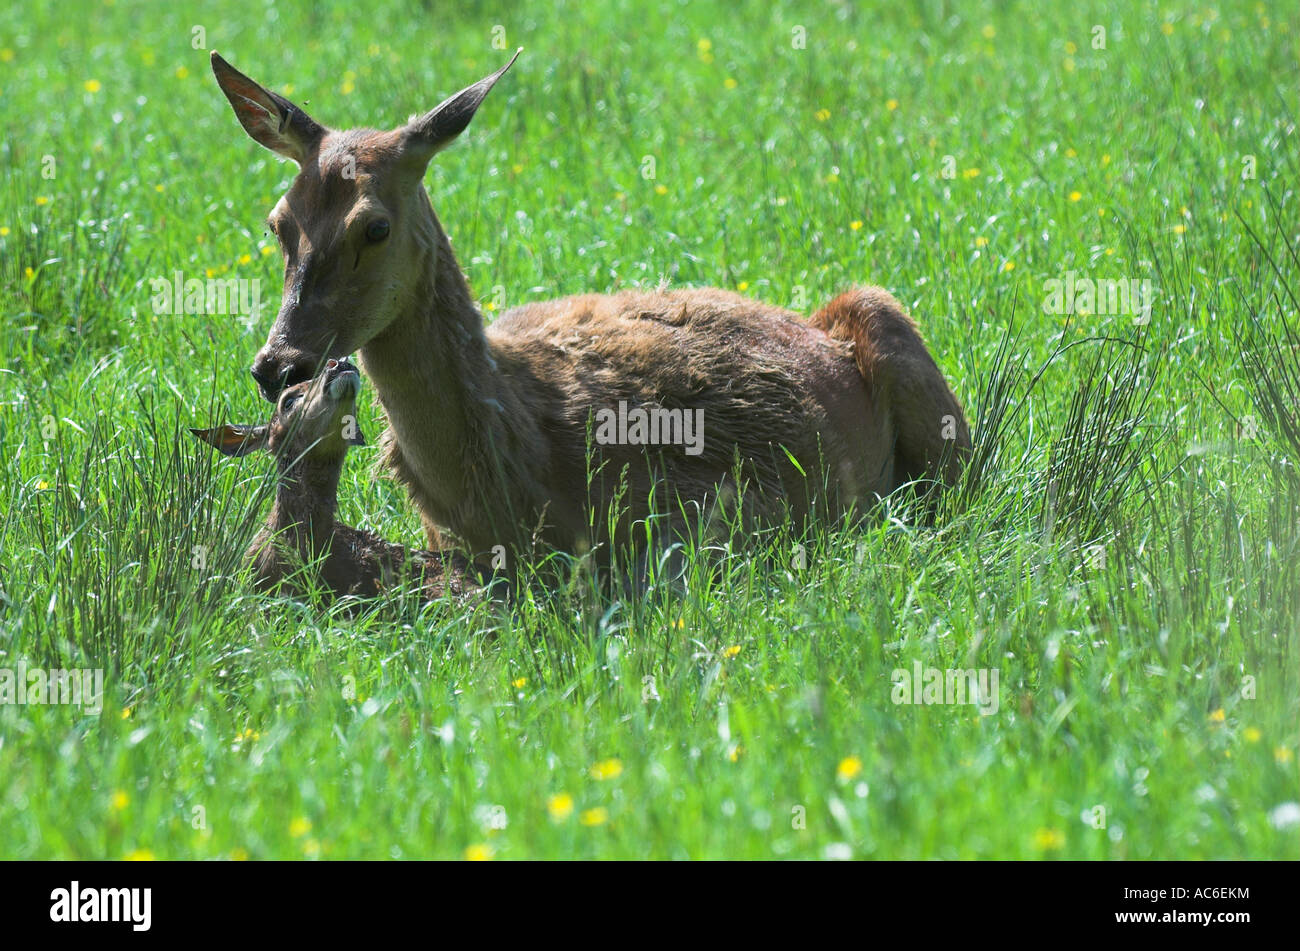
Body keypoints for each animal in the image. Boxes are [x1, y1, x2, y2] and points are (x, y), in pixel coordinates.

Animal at [210, 49, 972, 573]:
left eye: (374, 226)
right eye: (278, 222)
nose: (278, 365)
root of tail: (805, 320)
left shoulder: (707, 519)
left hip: (905, 357)